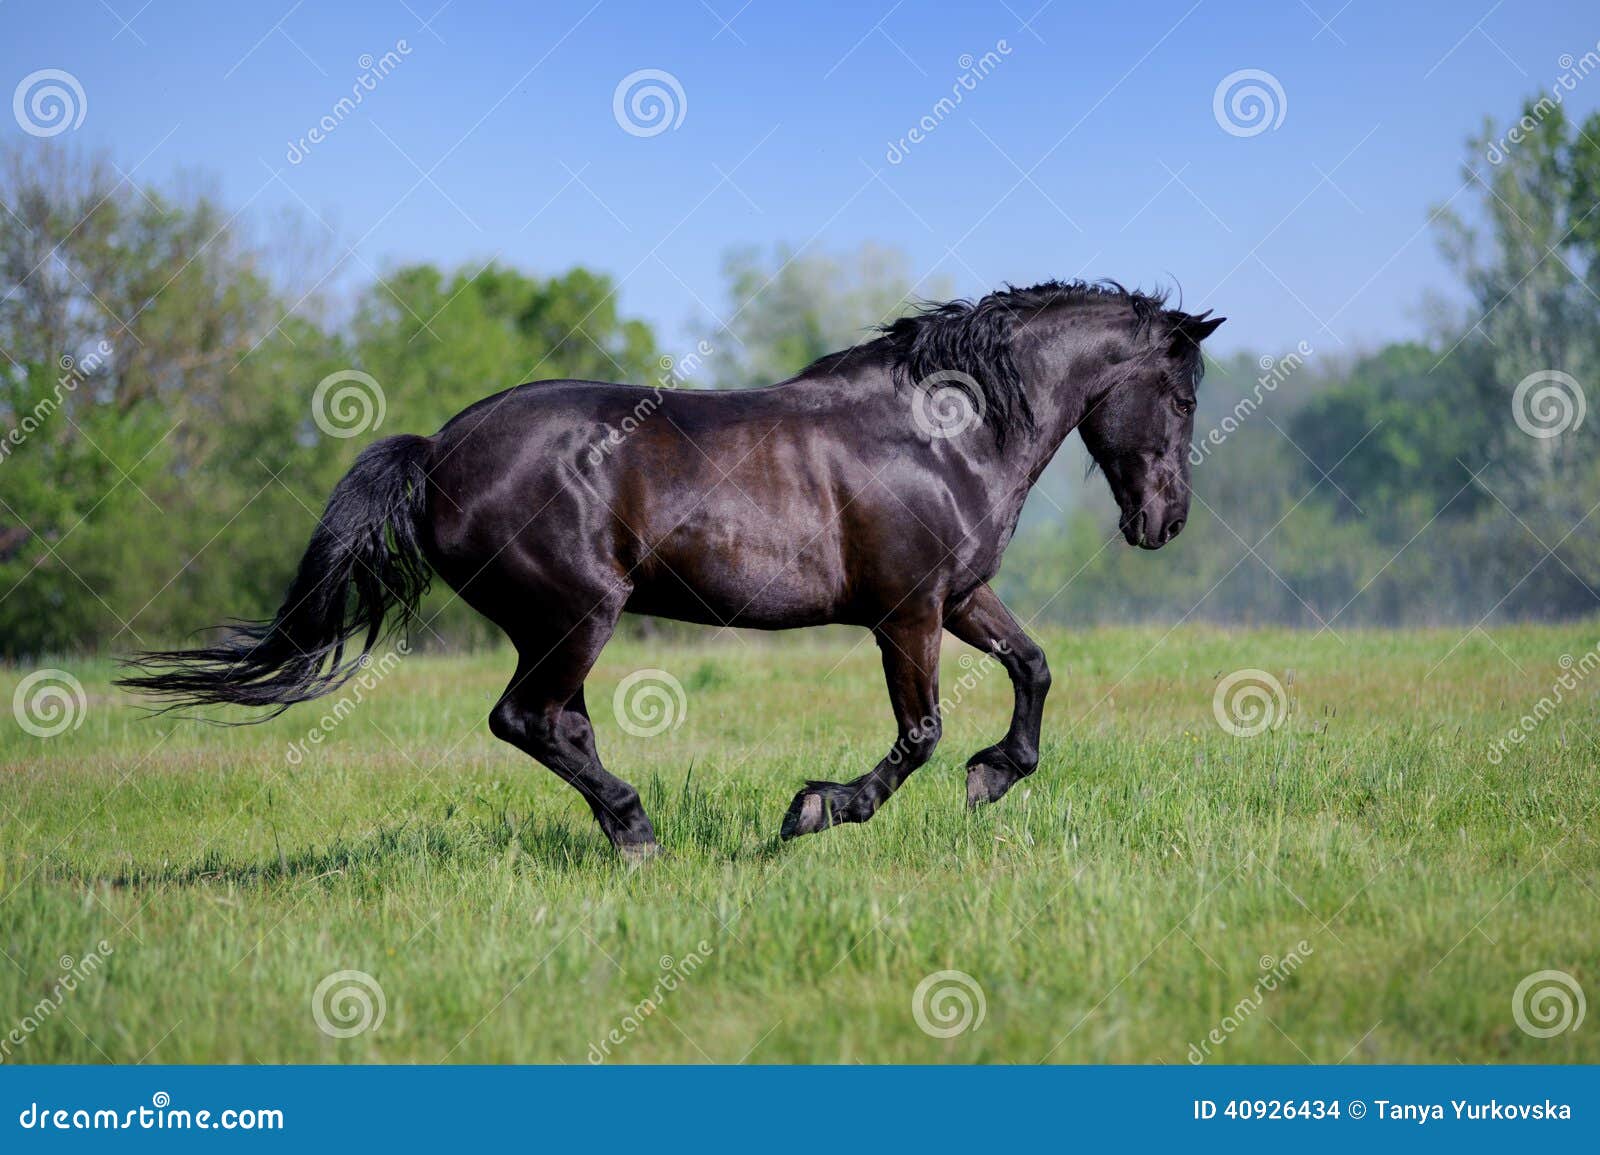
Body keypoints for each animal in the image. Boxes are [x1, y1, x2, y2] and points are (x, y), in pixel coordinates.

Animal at [120, 280, 1224, 859]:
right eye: (1180, 398)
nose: (1163, 521)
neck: (938, 432)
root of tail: (435, 451)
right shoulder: (907, 612)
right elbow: (919, 735)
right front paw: (814, 809)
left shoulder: (959, 597)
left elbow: (1033, 668)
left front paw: (994, 776)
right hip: (577, 615)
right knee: (525, 720)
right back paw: (635, 828)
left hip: (556, 626)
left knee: (558, 725)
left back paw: (629, 829)